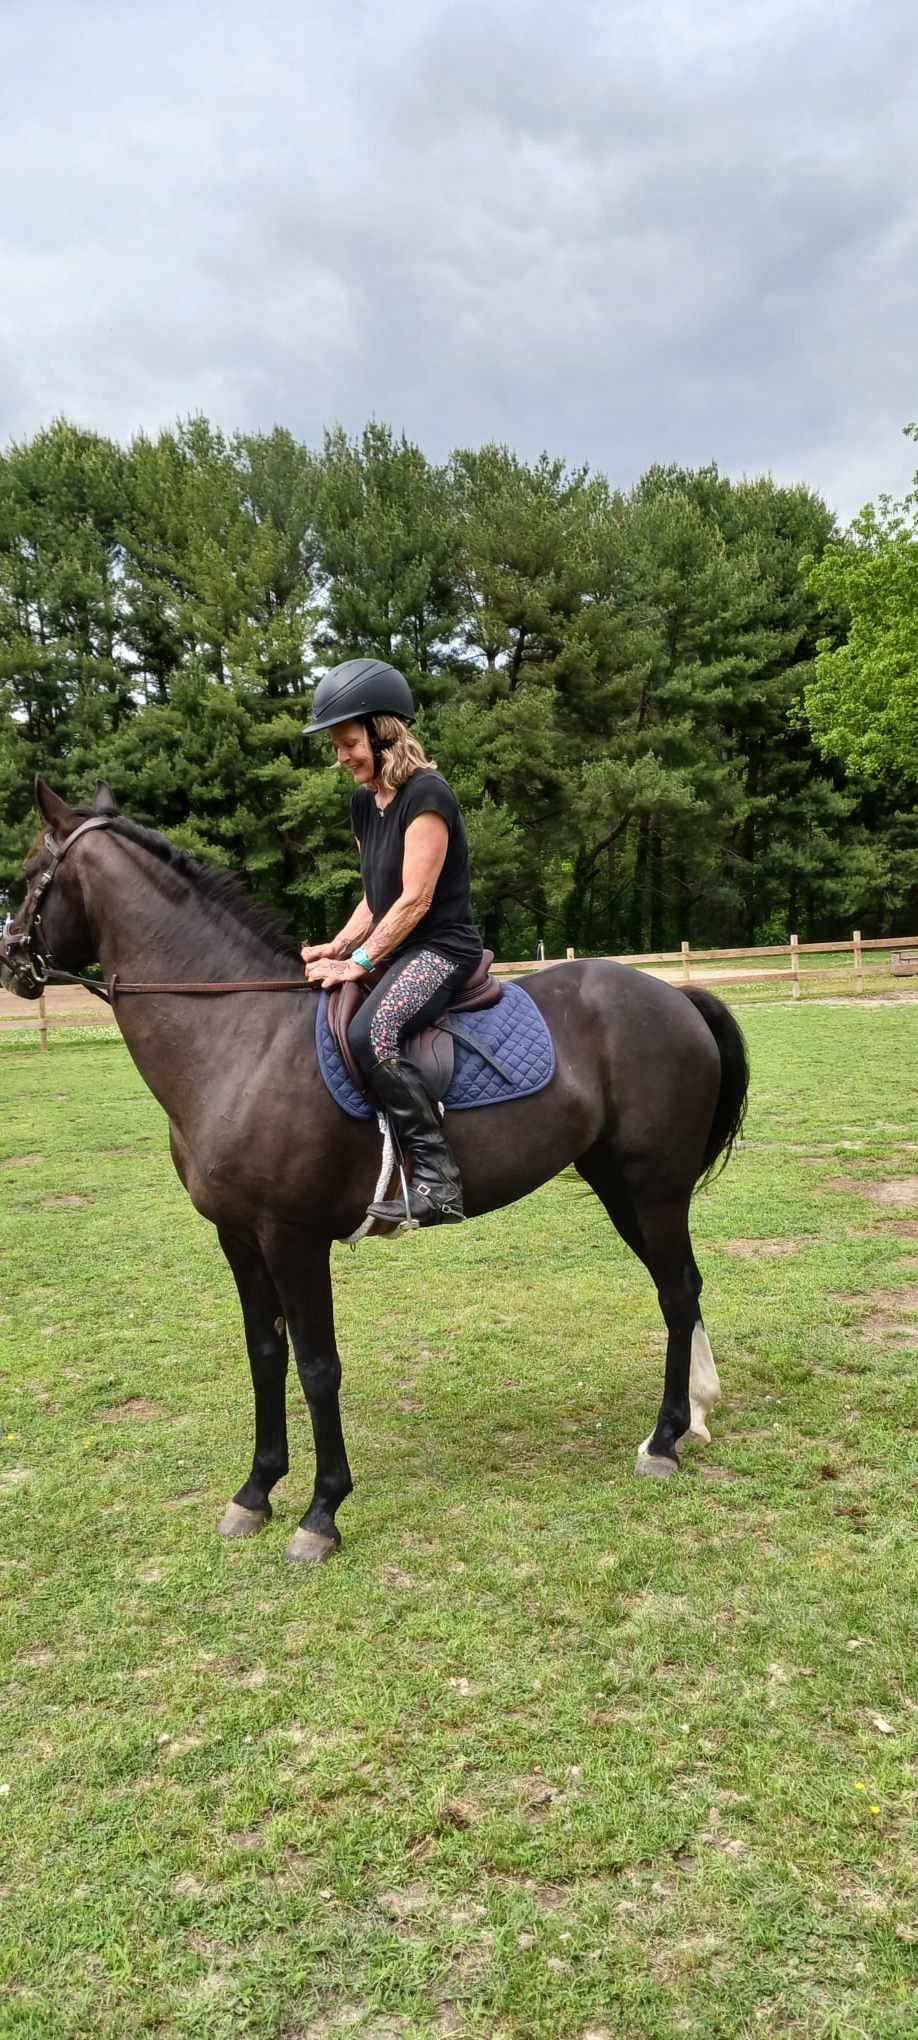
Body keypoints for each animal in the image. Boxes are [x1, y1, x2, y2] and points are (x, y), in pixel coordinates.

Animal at [0, 779, 748, 1563]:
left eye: (27, 875)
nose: (10, 959)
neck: (240, 1039)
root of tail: (674, 996)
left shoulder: (292, 1238)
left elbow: (316, 1365)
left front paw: (321, 1512)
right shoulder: (238, 1238)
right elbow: (264, 1354)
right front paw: (255, 1493)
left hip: (653, 1187)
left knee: (676, 1291)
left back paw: (664, 1442)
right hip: (619, 1186)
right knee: (680, 1285)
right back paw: (694, 1416)